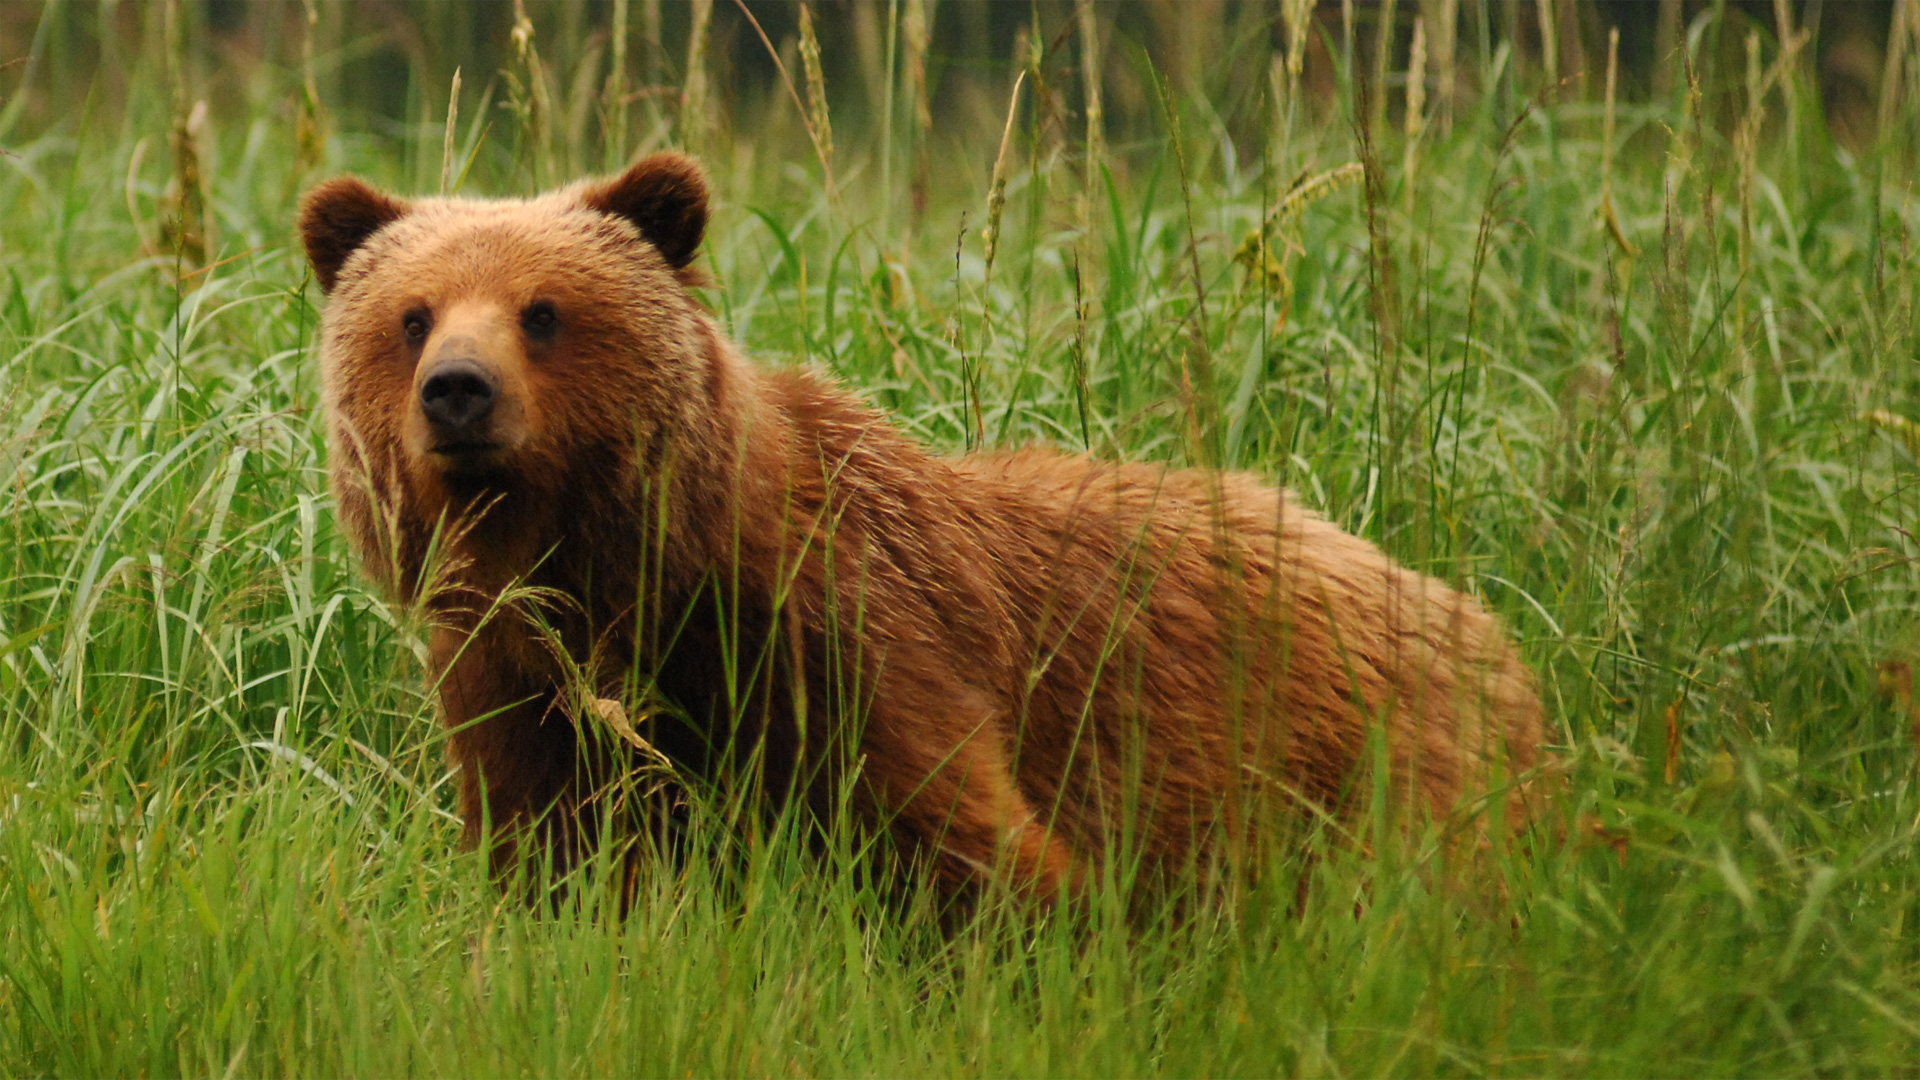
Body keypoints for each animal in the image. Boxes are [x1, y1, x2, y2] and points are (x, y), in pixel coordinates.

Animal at [298, 152, 1549, 901]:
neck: (618, 580)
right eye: (410, 317)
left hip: (1374, 763)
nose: (458, 392)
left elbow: (963, 840)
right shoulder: (512, 680)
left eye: (543, 311)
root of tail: (1476, 619)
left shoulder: (836, 637)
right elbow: (547, 860)